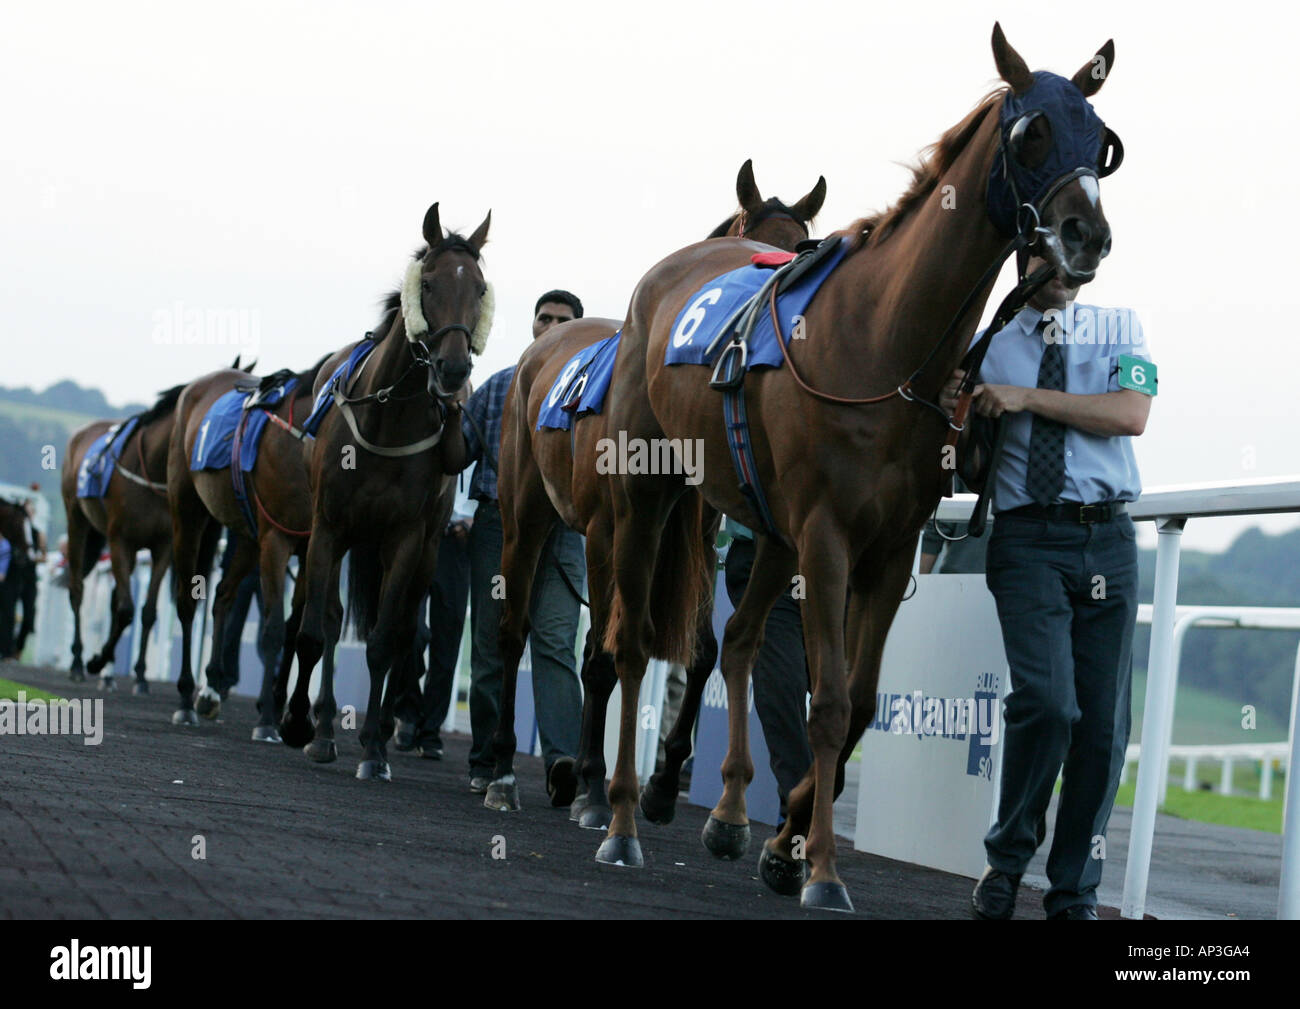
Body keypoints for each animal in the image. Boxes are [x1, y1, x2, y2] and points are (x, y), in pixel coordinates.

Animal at [165, 355, 329, 737]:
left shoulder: (307, 545)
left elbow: (293, 628)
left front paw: (284, 710)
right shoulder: (277, 541)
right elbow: (272, 629)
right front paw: (268, 719)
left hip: (250, 540)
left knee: (223, 595)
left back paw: (209, 690)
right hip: (188, 514)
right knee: (187, 602)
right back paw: (186, 698)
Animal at [279, 202, 489, 780]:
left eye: (480, 288)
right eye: (430, 283)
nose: (453, 369)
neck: (386, 416)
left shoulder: (406, 538)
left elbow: (383, 640)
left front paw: (373, 748)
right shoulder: (329, 528)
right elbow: (317, 630)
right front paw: (306, 728)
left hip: (428, 549)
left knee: (406, 632)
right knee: (328, 622)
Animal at [485, 160, 826, 826]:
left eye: (801, 240)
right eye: (753, 238)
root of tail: (542, 348)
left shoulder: (697, 539)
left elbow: (701, 651)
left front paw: (663, 784)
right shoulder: (610, 530)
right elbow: (601, 656)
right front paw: (595, 790)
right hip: (527, 516)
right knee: (514, 631)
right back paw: (503, 772)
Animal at [597, 25, 1122, 911]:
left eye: (1104, 143)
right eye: (1032, 132)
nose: (1086, 236)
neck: (883, 341)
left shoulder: (890, 544)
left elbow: (863, 698)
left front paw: (785, 841)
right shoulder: (828, 536)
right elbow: (830, 698)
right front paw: (821, 870)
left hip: (769, 530)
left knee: (738, 638)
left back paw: (729, 812)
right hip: (652, 493)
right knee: (635, 642)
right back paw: (624, 822)